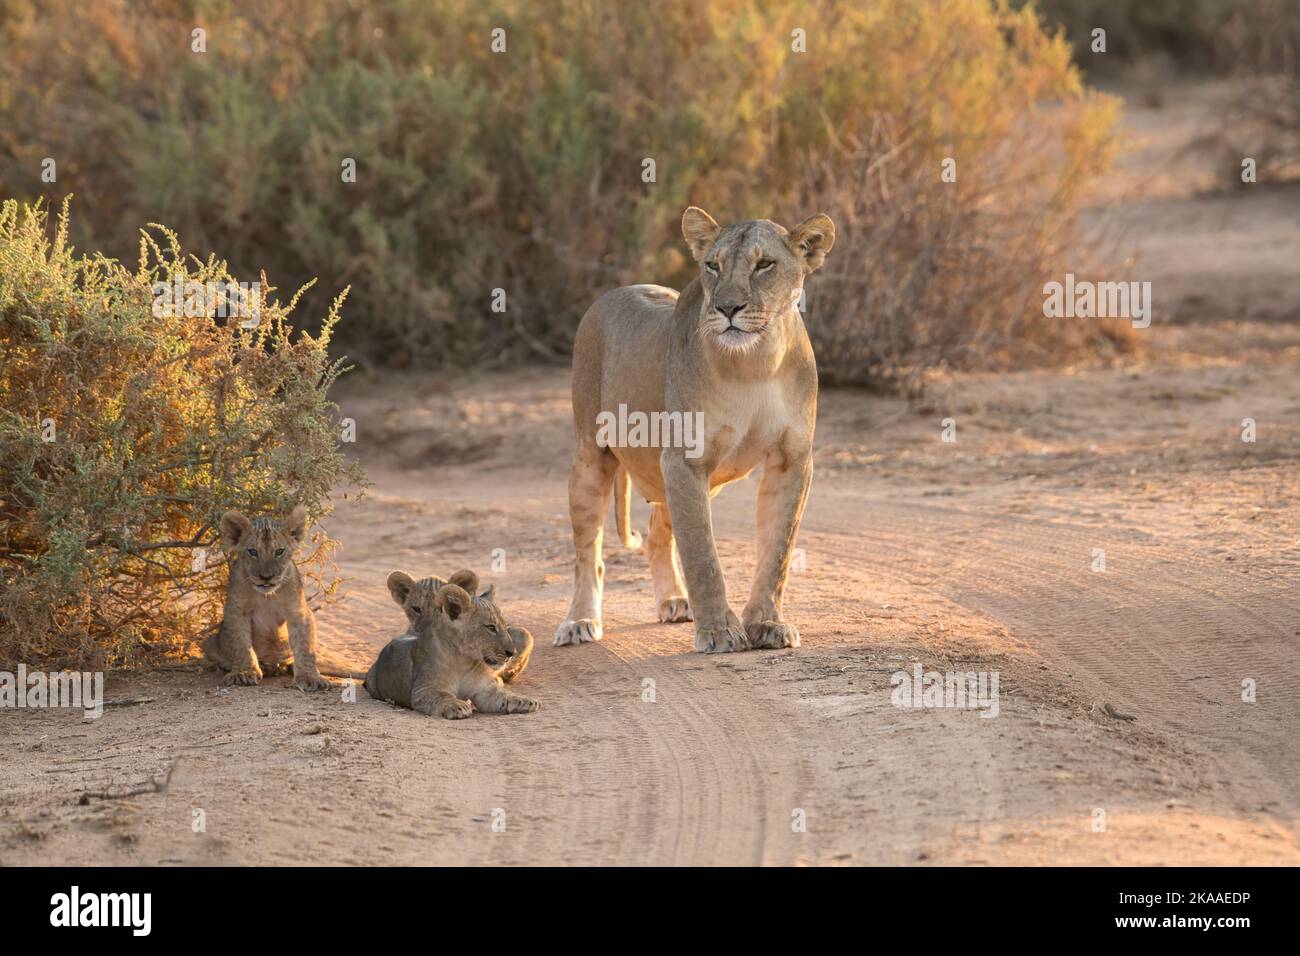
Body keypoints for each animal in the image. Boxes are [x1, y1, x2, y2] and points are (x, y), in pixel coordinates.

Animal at [202, 505, 364, 690]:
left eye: (279, 552)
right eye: (253, 552)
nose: (266, 577)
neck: (266, 596)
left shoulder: (299, 612)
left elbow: (305, 646)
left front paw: (310, 677)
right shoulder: (236, 611)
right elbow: (241, 644)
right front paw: (244, 672)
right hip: (209, 642)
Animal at [365, 569, 539, 719]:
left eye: (504, 626)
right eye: (490, 627)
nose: (512, 653)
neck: (463, 660)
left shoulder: (484, 691)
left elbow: (502, 695)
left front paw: (524, 700)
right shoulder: (423, 690)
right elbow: (441, 696)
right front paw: (456, 705)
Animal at [555, 206, 833, 653]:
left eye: (764, 264)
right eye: (712, 266)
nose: (728, 308)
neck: (757, 362)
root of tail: (613, 292)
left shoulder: (792, 460)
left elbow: (777, 551)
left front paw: (767, 624)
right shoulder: (685, 461)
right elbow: (703, 556)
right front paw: (719, 630)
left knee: (657, 534)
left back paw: (673, 601)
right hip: (591, 455)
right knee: (588, 553)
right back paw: (579, 621)